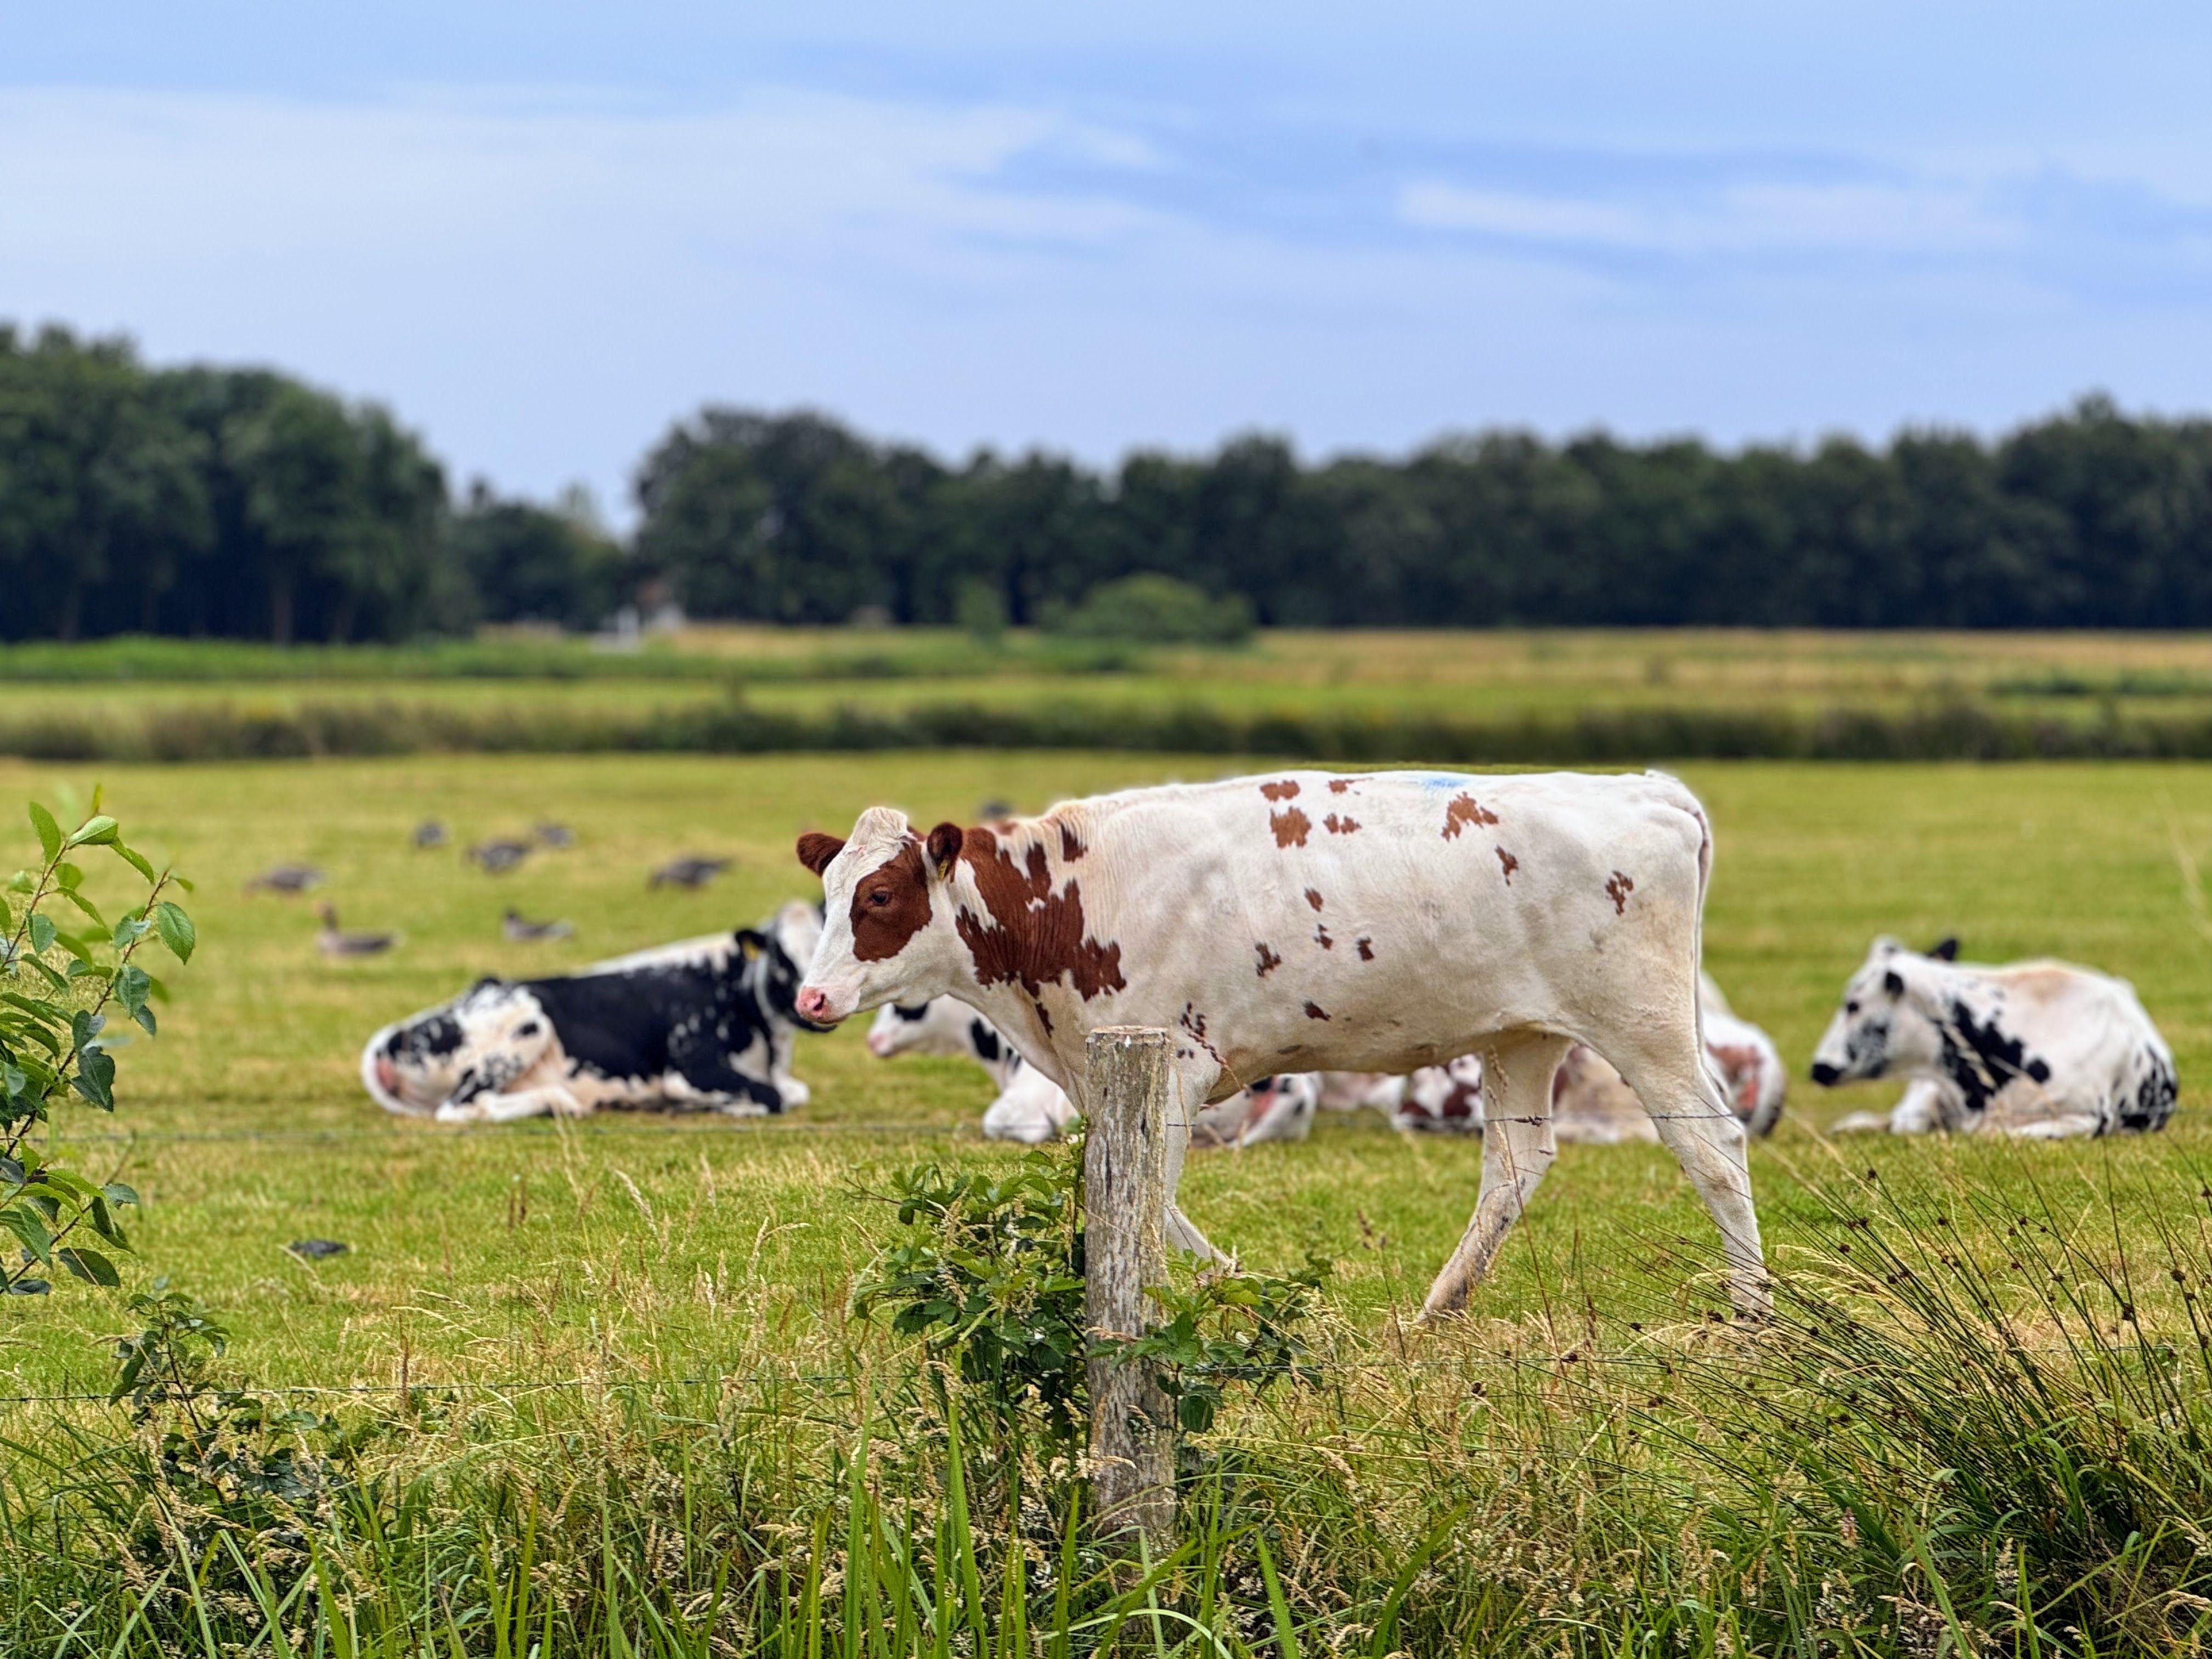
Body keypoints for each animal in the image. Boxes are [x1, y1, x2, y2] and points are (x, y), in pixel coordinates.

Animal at [361, 900, 823, 1123]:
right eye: (780, 956)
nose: (810, 1002)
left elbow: (795, 1091)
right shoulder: (691, 1068)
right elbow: (775, 1097)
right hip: (527, 1022)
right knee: (463, 1106)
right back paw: (560, 1102)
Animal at [794, 768, 1767, 1322]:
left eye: (879, 897)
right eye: (831, 891)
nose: (810, 995)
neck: (1068, 899)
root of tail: (1651, 788)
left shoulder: (1174, 1067)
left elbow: (1145, 1198)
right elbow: (1131, 1192)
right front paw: (1224, 1280)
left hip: (1642, 1023)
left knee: (1712, 1144)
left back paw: (1753, 1309)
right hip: (1521, 1035)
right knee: (1516, 1164)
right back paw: (1442, 1305)